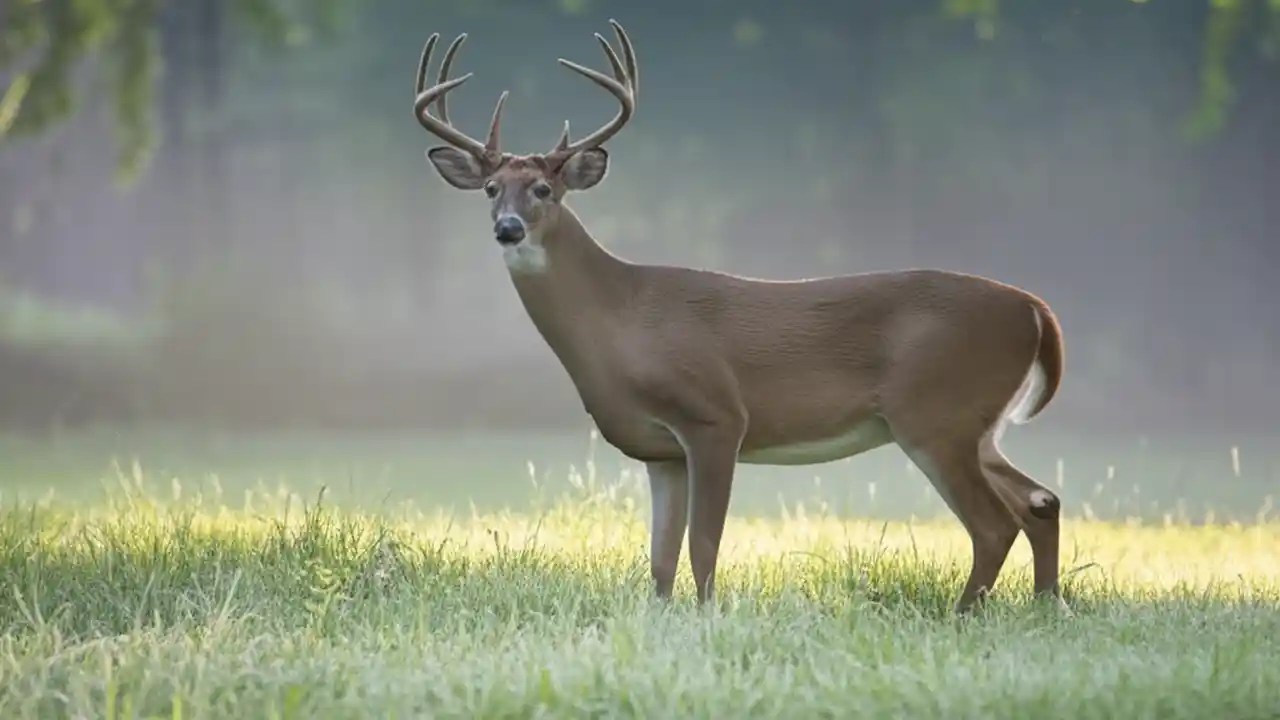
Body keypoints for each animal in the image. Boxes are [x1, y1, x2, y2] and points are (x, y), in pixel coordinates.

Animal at [411, 21, 1068, 614]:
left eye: (544, 190)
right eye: (491, 188)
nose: (507, 228)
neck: (622, 318)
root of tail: (1035, 309)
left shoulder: (715, 416)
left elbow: (704, 544)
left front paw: (707, 615)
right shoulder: (660, 451)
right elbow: (660, 559)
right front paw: (662, 618)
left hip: (935, 411)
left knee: (994, 522)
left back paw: (965, 614)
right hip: (976, 423)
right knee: (1041, 501)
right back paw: (1045, 606)